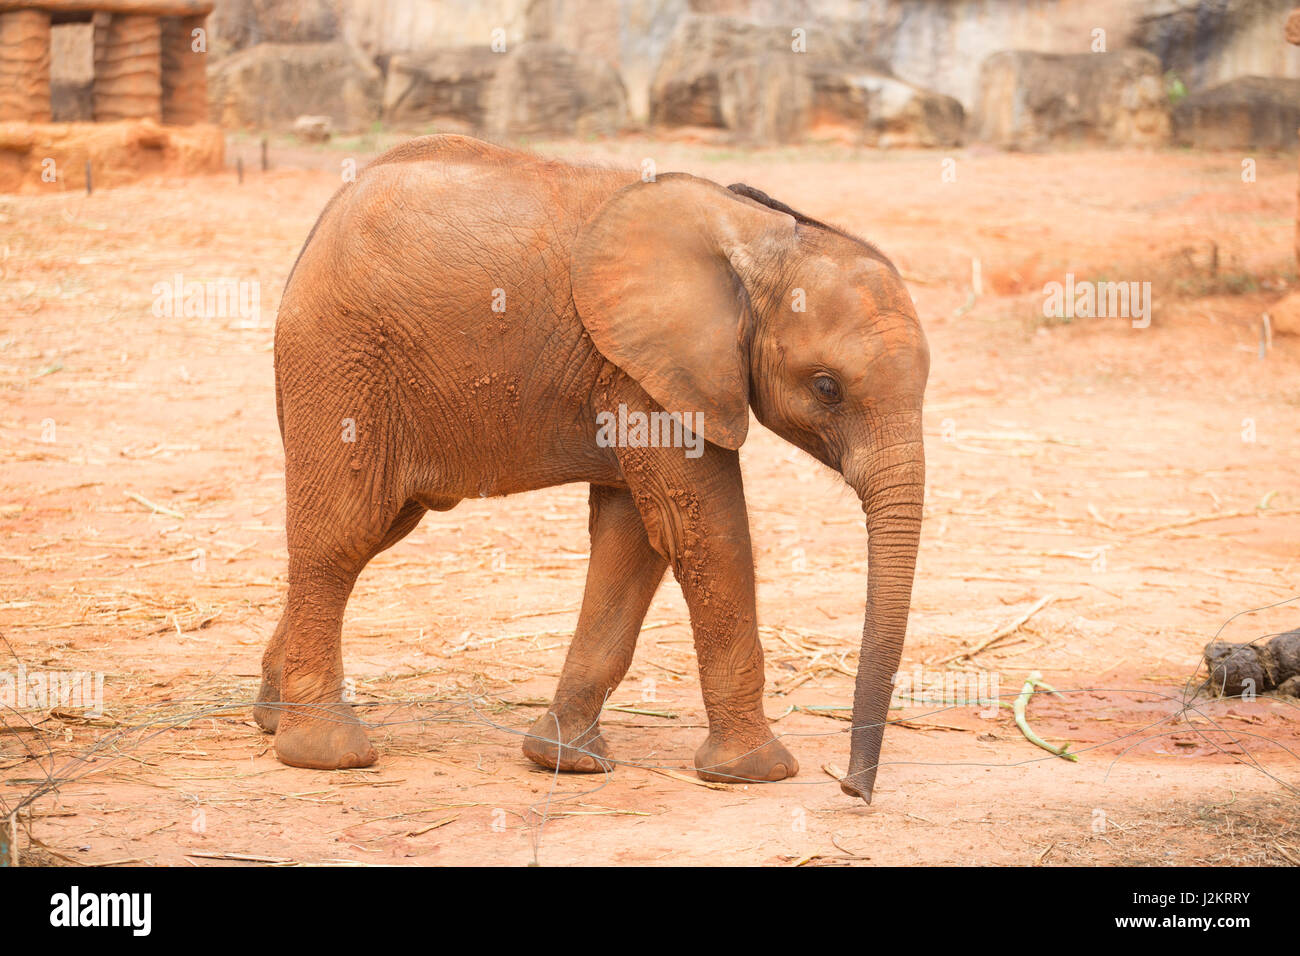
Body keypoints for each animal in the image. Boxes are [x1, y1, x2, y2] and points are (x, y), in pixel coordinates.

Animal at [254, 134, 929, 802]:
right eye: (827, 387)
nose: (852, 791)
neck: (759, 232)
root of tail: (321, 225)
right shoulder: (644, 369)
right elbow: (704, 532)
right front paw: (757, 772)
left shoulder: (638, 372)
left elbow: (634, 538)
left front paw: (566, 760)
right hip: (344, 356)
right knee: (343, 534)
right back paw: (327, 753)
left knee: (379, 527)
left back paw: (269, 717)